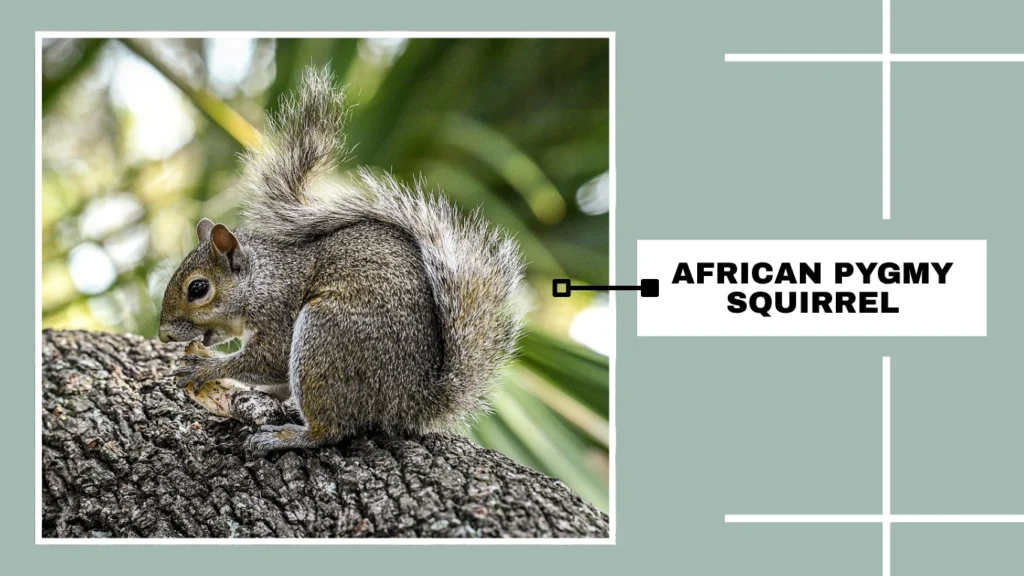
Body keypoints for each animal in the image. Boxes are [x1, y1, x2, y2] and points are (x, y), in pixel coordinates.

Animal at [158, 66, 526, 456]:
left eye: (198, 288)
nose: (164, 335)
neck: (261, 280)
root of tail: (411, 402)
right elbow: (276, 381)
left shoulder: (278, 314)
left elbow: (268, 359)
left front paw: (205, 367)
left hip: (325, 337)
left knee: (332, 428)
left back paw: (288, 436)